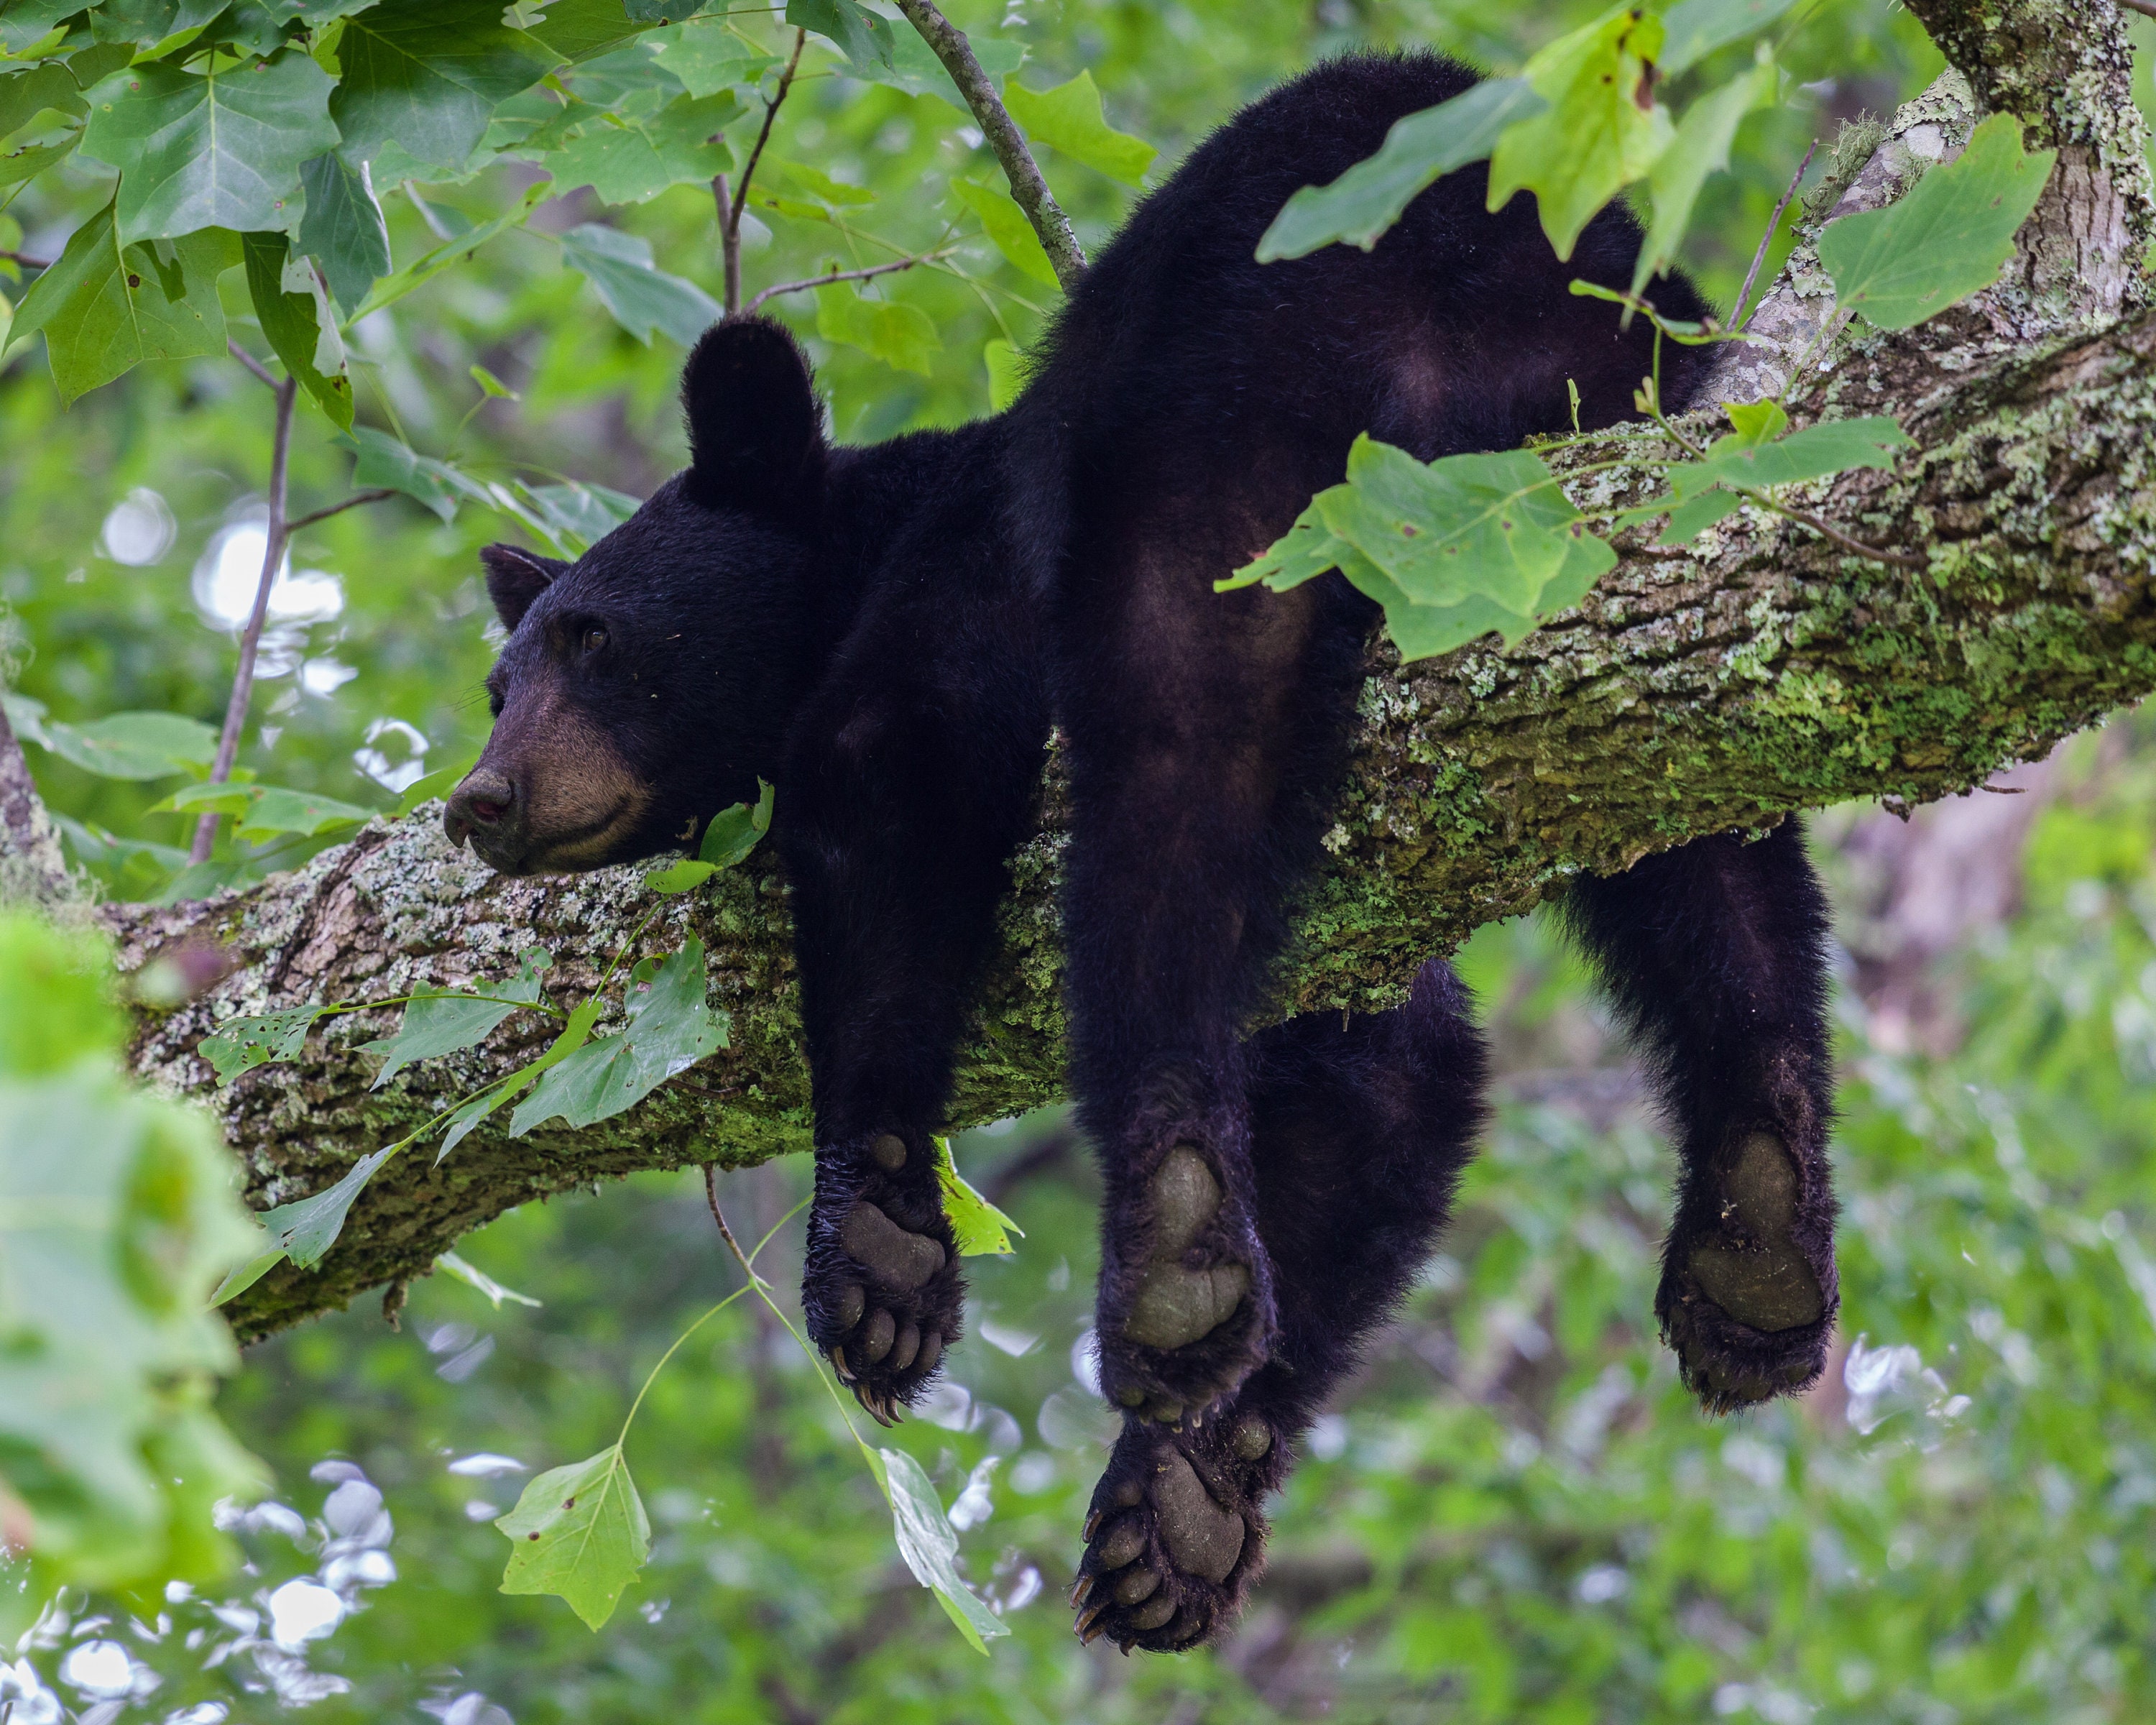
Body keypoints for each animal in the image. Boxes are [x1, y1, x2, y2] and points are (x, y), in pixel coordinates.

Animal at [444, 49, 1839, 1655]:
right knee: (1698, 800)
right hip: (1618, 458)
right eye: (500, 683)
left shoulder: (969, 563)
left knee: (1177, 748)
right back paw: (1758, 1221)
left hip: (1233, 403)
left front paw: (878, 1248)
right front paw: (1181, 1507)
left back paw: (1167, 1236)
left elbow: (887, 764)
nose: (480, 799)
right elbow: (1392, 1075)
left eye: (599, 645)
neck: (863, 536)